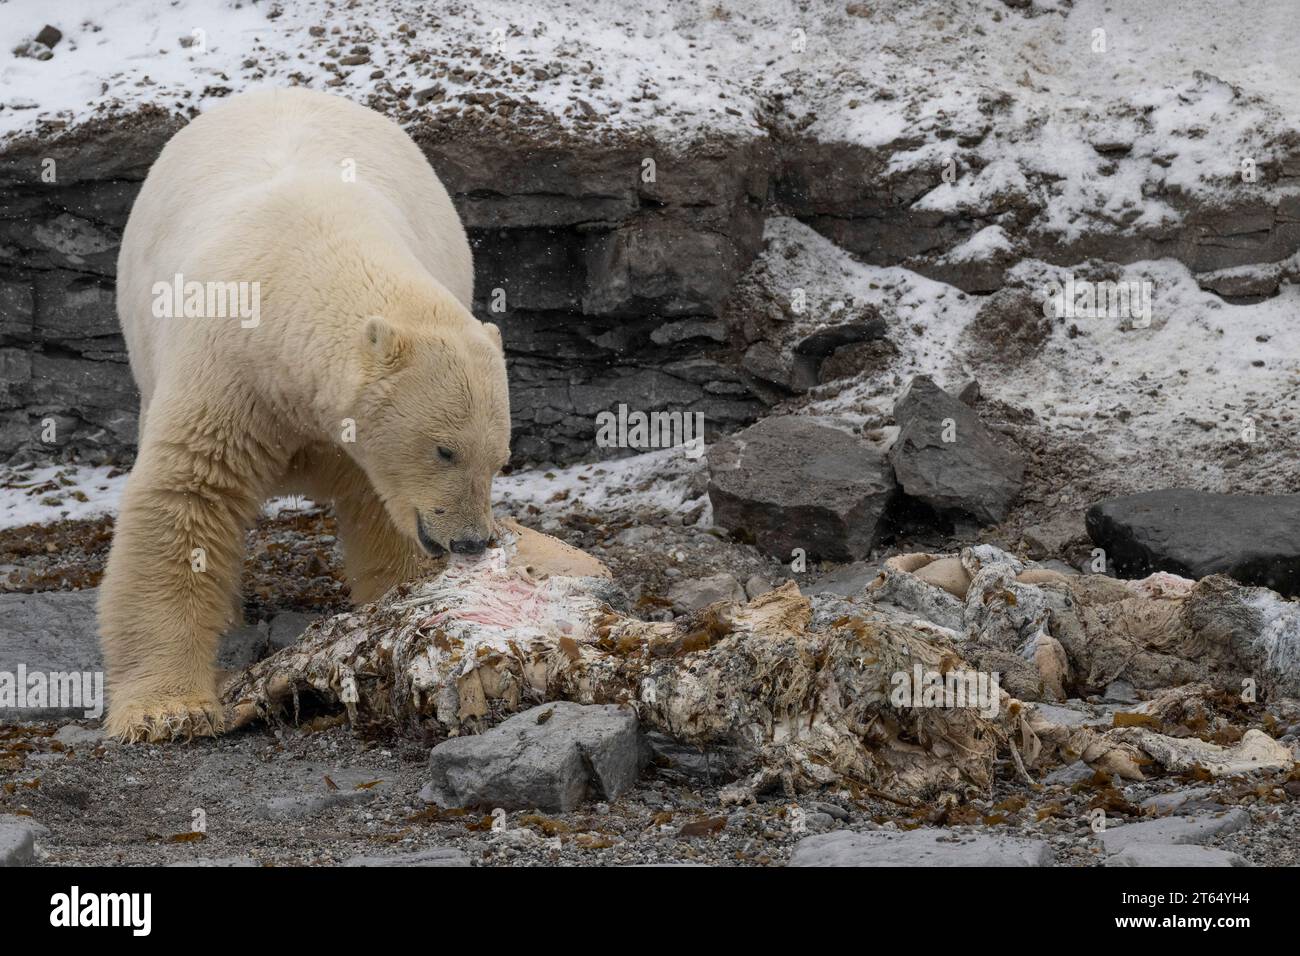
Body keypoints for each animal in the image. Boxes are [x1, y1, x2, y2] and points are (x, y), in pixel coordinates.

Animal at [100, 88, 511, 742]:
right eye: (445, 449)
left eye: (500, 461)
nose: (471, 541)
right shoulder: (229, 367)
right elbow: (185, 496)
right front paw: (167, 710)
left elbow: (380, 513)